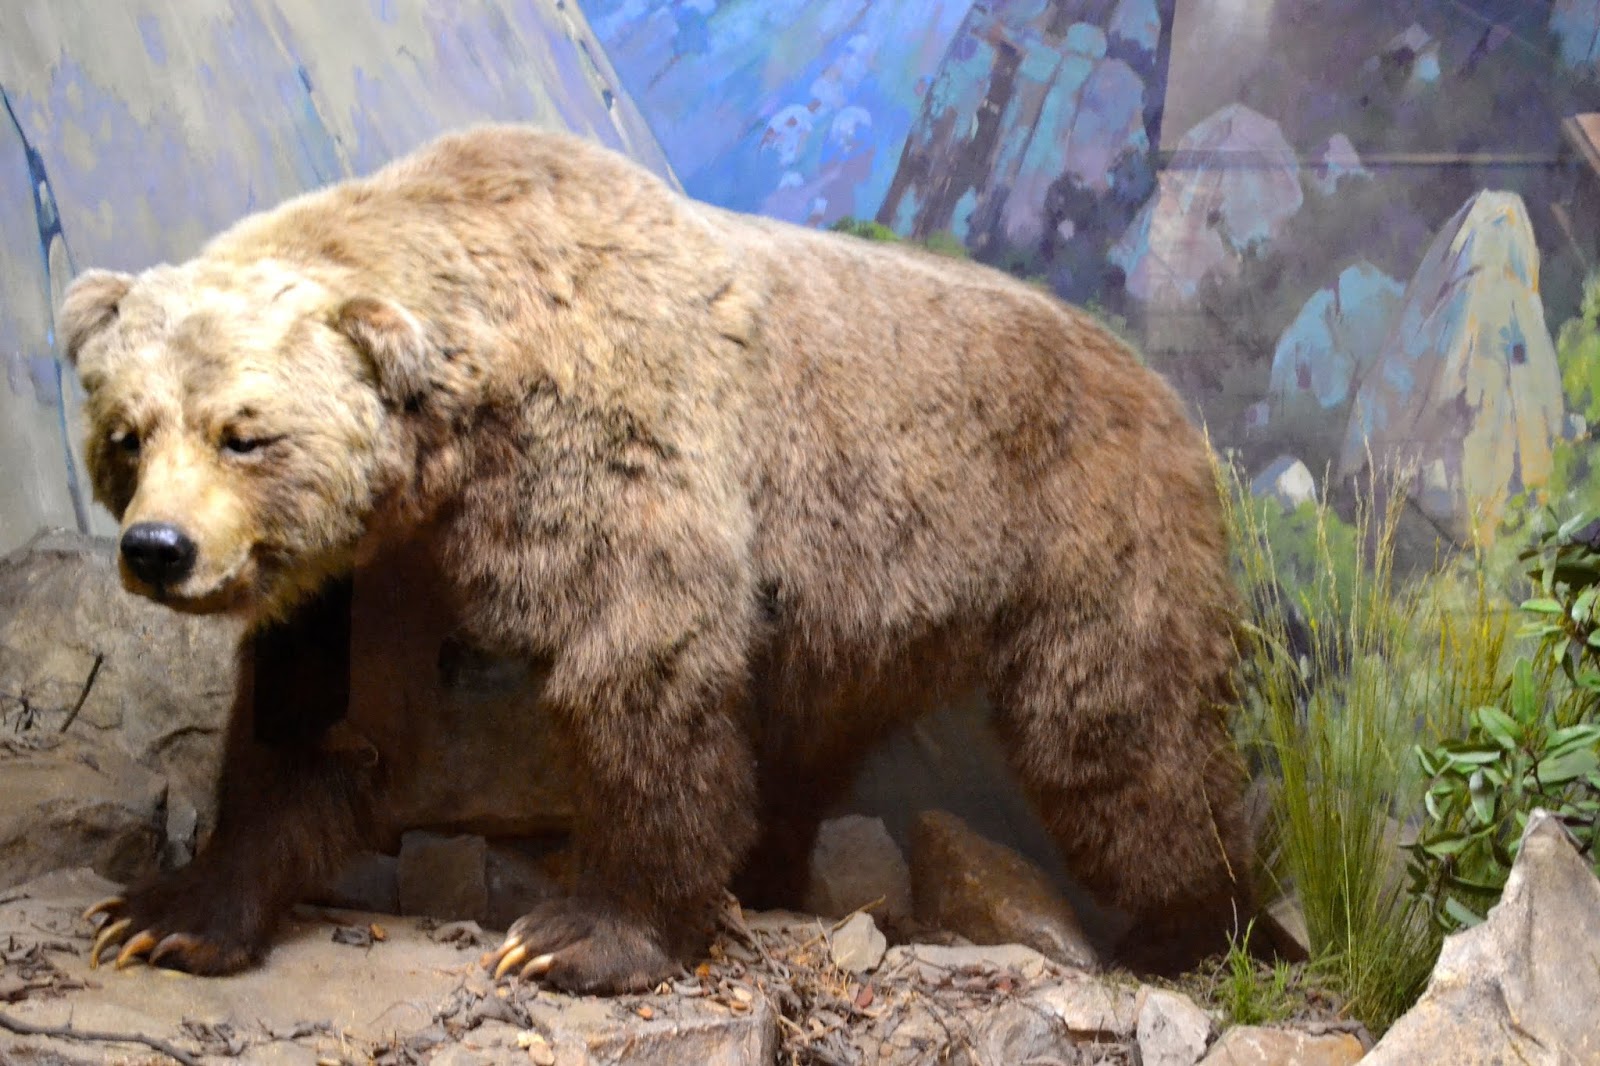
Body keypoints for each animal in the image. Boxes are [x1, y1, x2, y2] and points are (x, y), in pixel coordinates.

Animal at [58, 124, 1251, 994]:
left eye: (243, 433)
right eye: (128, 431)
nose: (159, 548)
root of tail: (1165, 386)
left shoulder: (620, 459)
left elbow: (644, 674)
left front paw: (578, 931)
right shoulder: (377, 569)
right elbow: (318, 721)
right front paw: (165, 915)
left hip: (1081, 534)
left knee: (1121, 740)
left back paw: (1196, 924)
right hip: (860, 616)